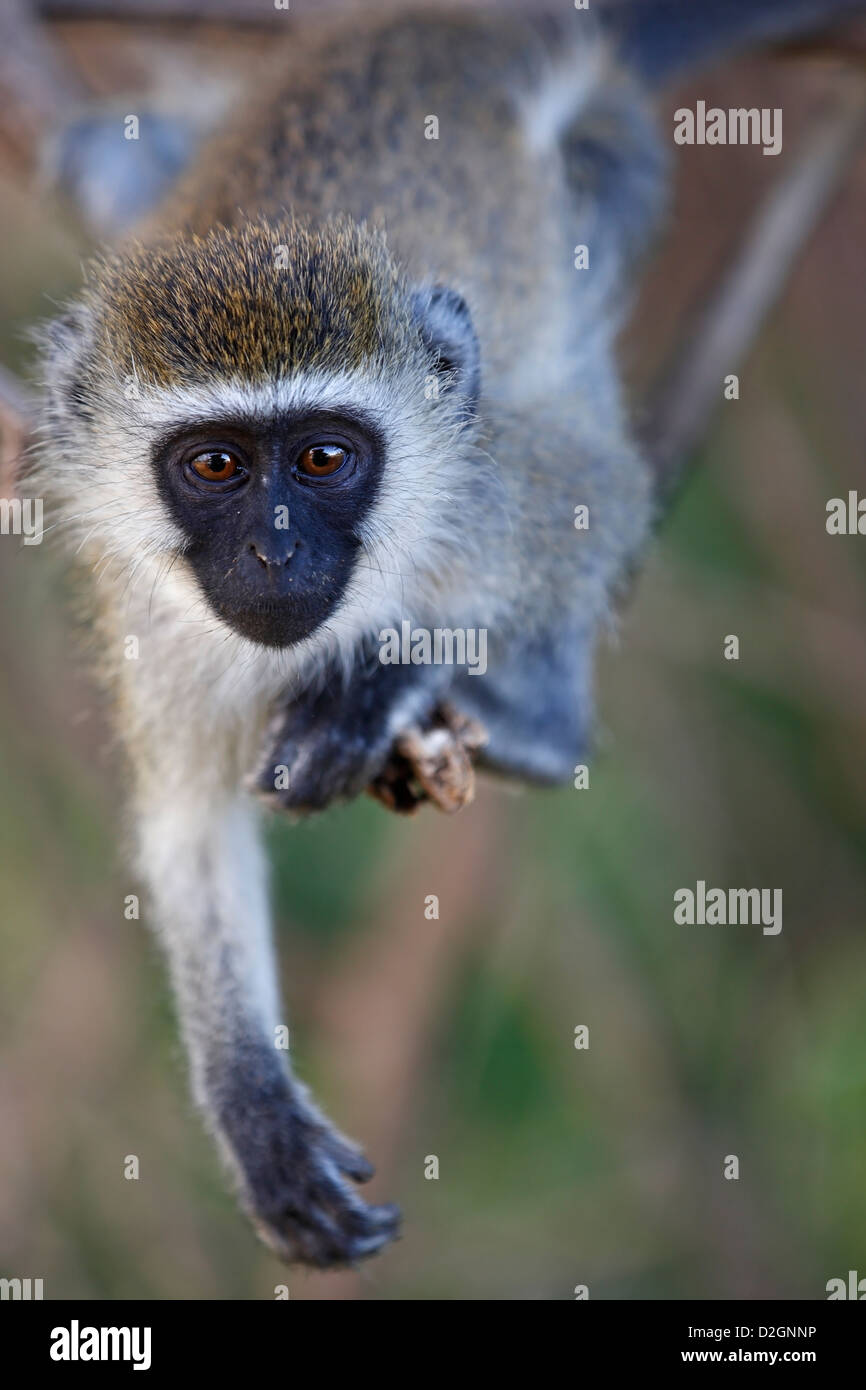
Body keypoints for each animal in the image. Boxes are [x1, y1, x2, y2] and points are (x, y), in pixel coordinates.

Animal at [31, 0, 865, 1269]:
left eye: (324, 457)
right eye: (215, 466)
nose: (274, 554)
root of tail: (457, 27)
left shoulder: (489, 493)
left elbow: (596, 498)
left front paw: (387, 676)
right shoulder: (151, 614)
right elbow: (185, 825)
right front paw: (251, 1103)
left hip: (605, 171)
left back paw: (532, 725)